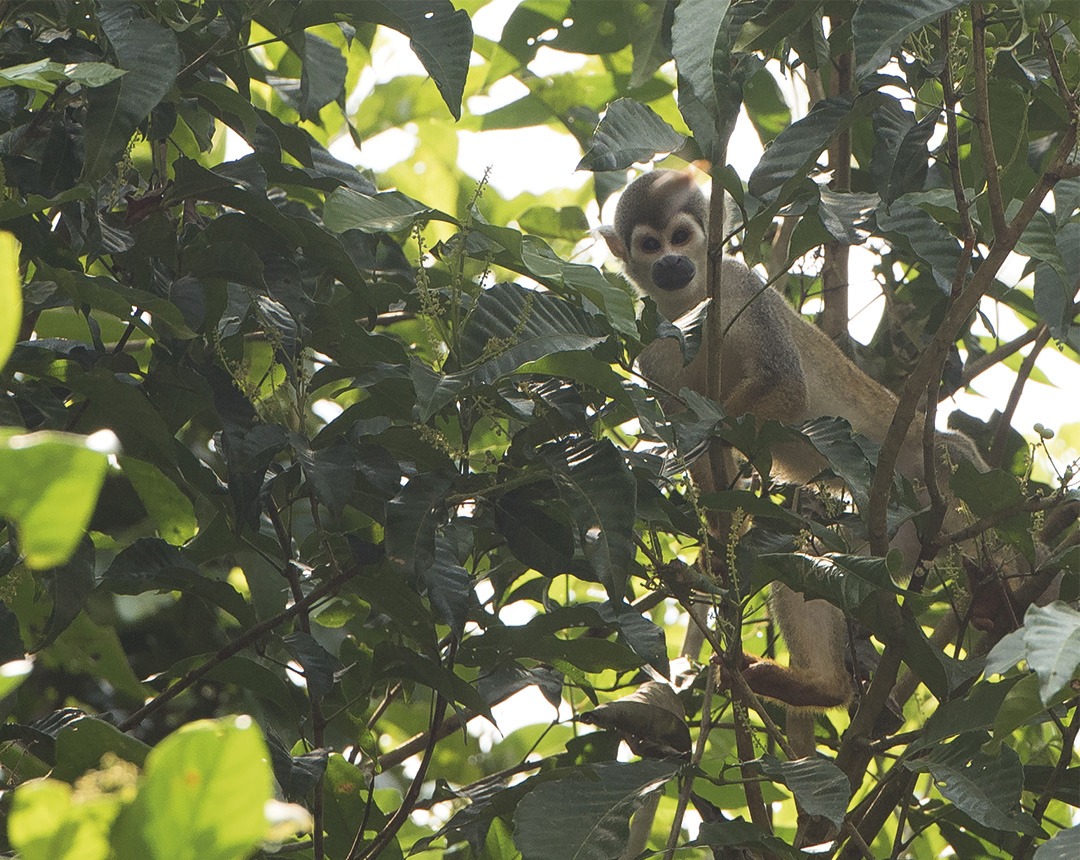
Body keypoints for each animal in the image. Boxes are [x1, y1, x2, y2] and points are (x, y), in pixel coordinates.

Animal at [600, 169, 1001, 718]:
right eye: (648, 244)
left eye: (680, 237)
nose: (670, 262)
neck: (689, 305)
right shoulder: (651, 351)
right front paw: (718, 542)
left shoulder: (746, 288)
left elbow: (787, 389)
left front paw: (722, 442)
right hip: (900, 537)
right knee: (815, 557)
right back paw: (821, 687)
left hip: (941, 480)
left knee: (954, 458)